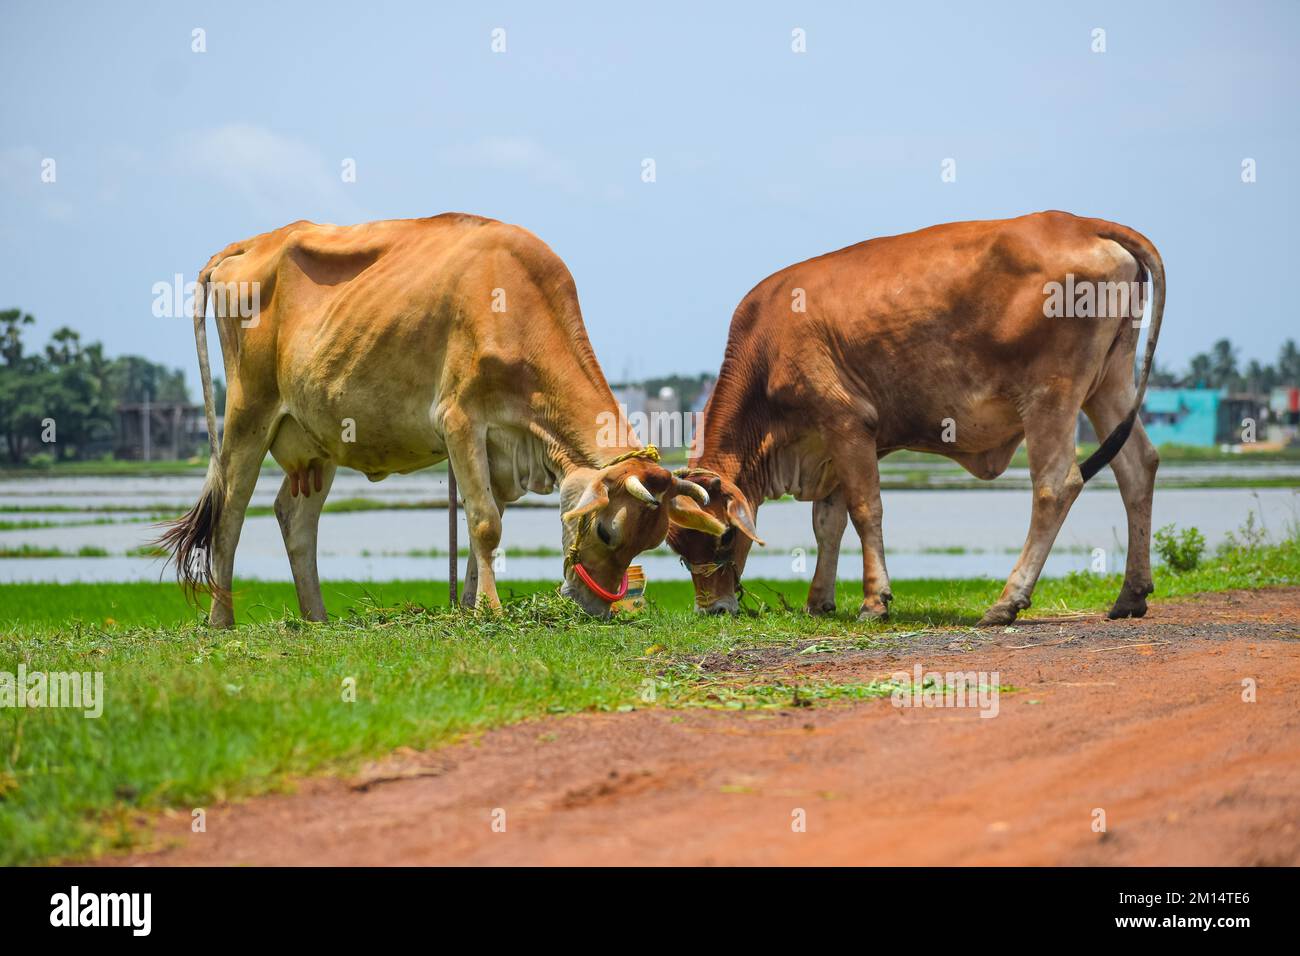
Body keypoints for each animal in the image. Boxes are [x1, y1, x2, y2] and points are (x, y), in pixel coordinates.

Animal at [160, 213, 725, 625]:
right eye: (608, 533)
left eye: (650, 542)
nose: (595, 609)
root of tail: (251, 242)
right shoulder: (460, 420)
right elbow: (485, 524)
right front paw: (492, 611)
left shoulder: (500, 448)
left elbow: (480, 534)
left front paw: (471, 606)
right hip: (247, 412)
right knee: (230, 512)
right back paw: (221, 620)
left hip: (317, 438)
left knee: (294, 517)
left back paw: (317, 618)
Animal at [667, 211, 1165, 626]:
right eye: (677, 547)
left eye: (724, 539)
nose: (714, 608)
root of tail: (1084, 223)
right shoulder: (828, 447)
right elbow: (827, 523)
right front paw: (818, 601)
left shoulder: (846, 424)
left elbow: (865, 510)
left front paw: (874, 602)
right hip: (1108, 383)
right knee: (1137, 466)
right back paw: (1130, 596)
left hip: (1050, 396)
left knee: (1056, 485)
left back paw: (1006, 601)